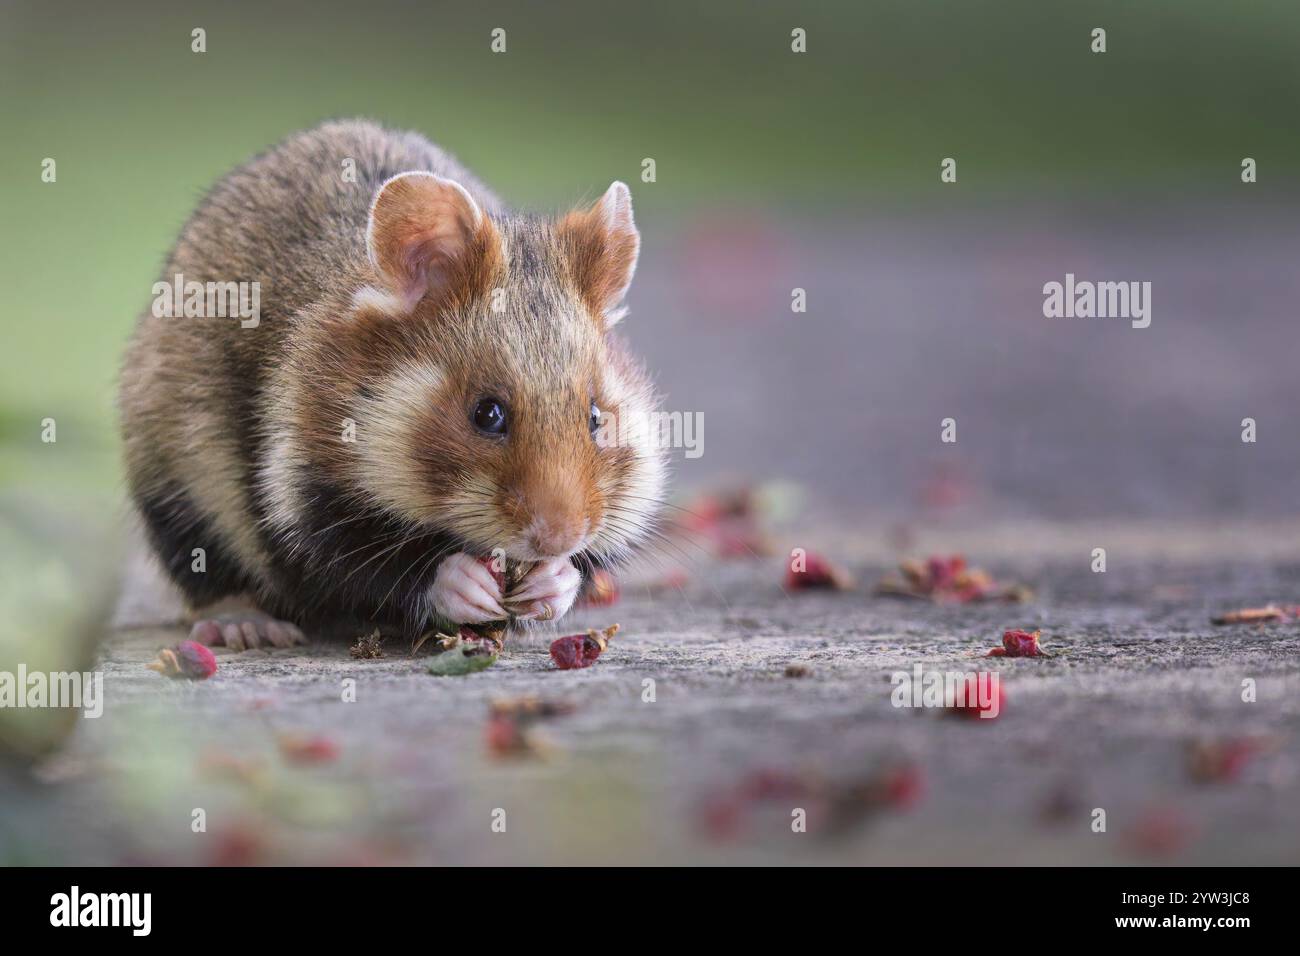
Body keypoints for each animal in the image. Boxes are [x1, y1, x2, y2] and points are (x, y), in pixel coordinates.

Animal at [120, 119, 666, 648]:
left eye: (597, 418)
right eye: (486, 414)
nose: (559, 539)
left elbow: (582, 570)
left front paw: (552, 579)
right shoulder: (302, 498)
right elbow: (372, 565)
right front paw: (465, 583)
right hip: (175, 488)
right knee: (206, 578)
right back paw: (247, 627)